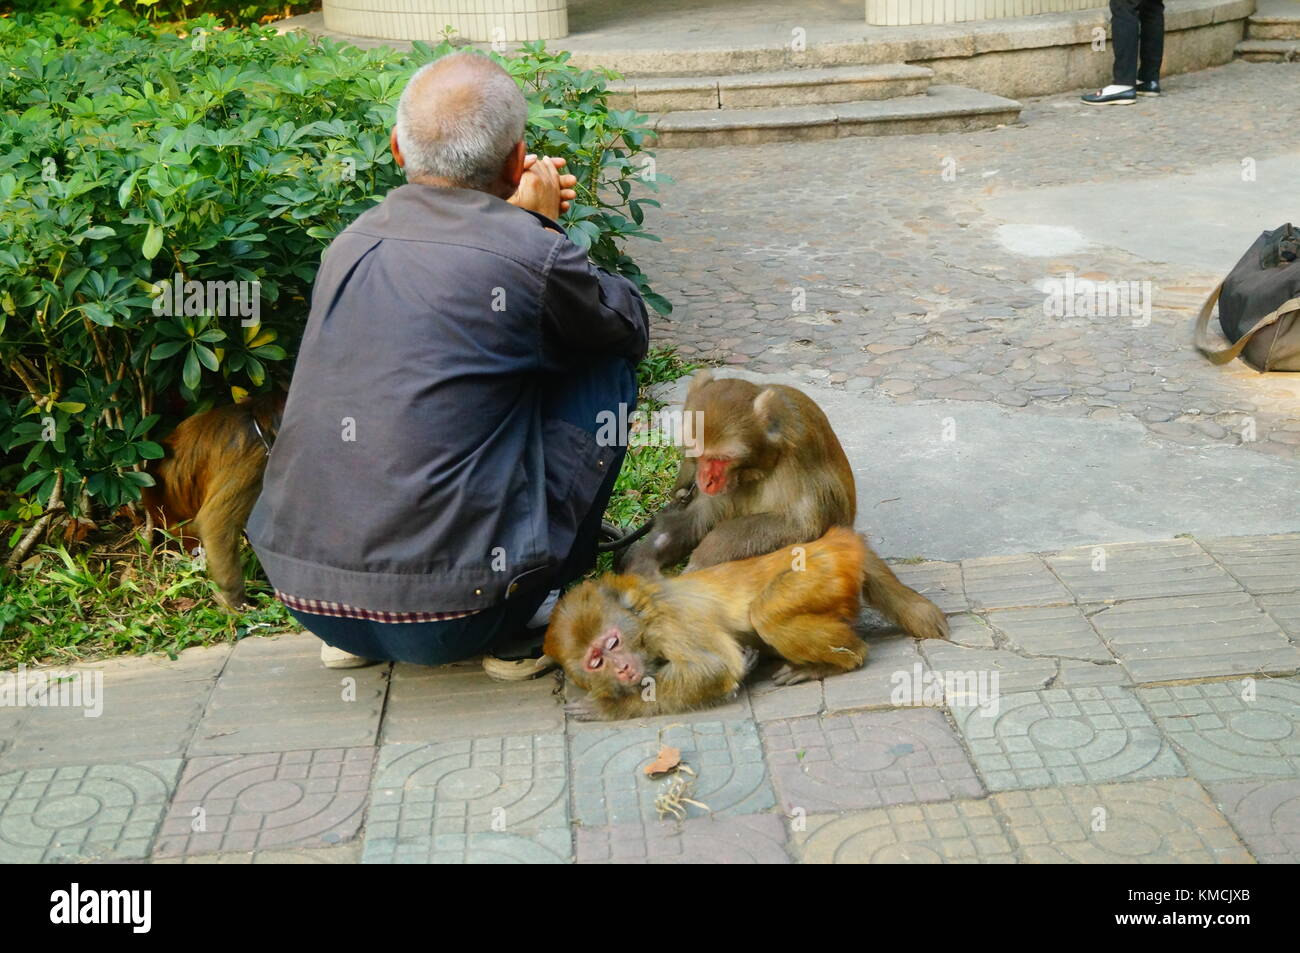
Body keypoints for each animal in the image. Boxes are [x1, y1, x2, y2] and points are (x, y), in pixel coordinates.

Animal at [545, 527, 869, 721]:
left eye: (614, 643)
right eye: (596, 662)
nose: (623, 668)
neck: (643, 613)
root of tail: (837, 542)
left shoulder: (669, 624)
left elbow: (714, 667)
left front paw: (610, 706)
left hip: (820, 573)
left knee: (765, 616)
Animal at [623, 370, 948, 642]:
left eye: (722, 459)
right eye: (699, 455)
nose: (706, 480)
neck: (761, 463)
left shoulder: (800, 451)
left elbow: (804, 525)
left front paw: (704, 558)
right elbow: (701, 515)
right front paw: (645, 558)